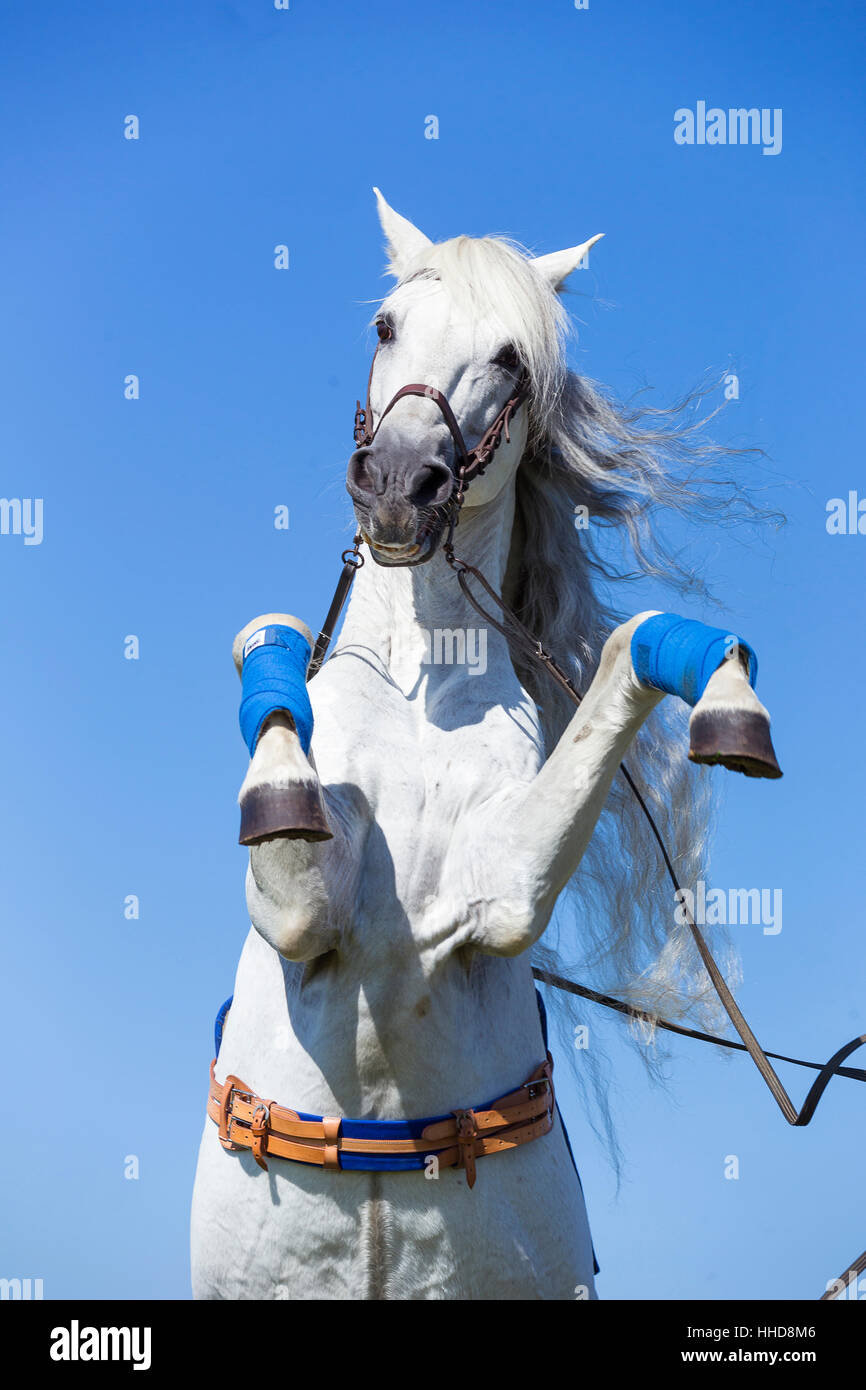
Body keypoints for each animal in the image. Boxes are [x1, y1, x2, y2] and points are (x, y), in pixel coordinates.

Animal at [190, 189, 780, 1300]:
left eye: (511, 357)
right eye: (385, 326)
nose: (397, 484)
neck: (423, 697)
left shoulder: (500, 890)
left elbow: (630, 659)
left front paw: (724, 695)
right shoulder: (298, 909)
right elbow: (276, 732)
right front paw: (273, 671)